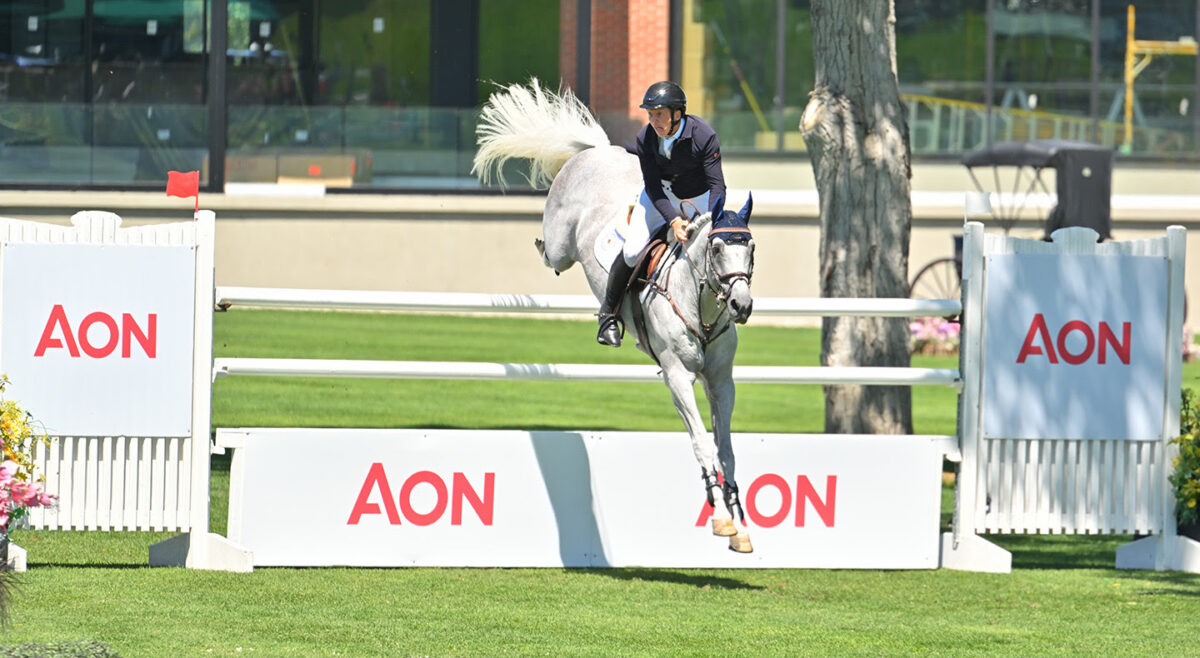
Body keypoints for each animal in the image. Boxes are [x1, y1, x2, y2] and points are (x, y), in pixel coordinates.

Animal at [472, 80, 757, 553]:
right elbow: (702, 443)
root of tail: (596, 152)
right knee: (553, 253)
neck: (699, 304)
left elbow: (727, 449)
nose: (742, 306)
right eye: (716, 249)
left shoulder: (721, 382)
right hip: (563, 241)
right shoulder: (678, 376)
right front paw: (721, 520)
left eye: (749, 248)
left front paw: (741, 526)